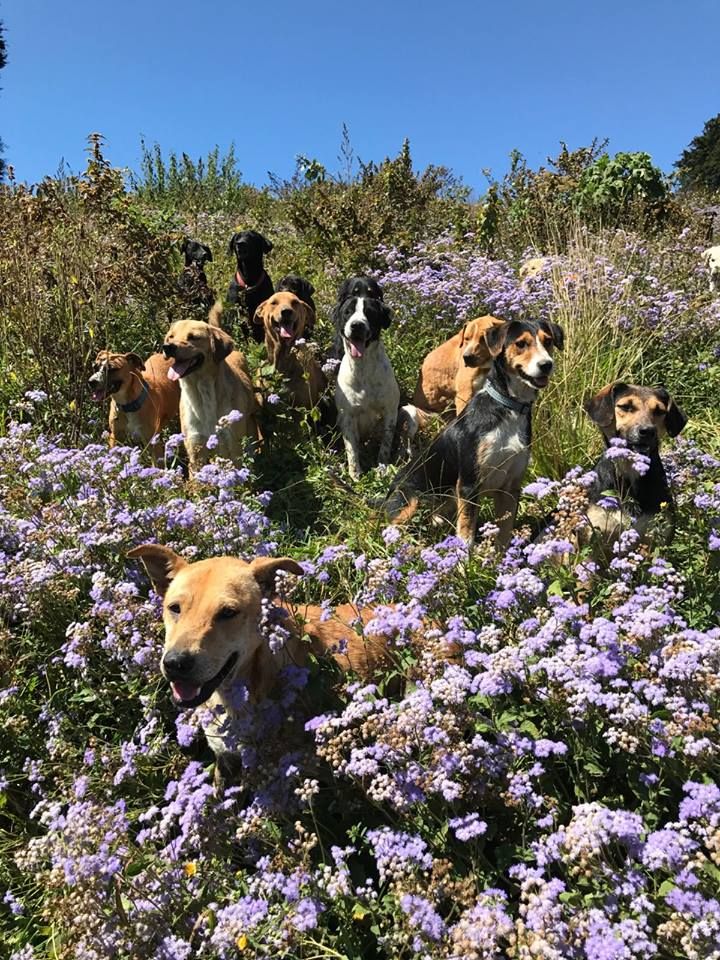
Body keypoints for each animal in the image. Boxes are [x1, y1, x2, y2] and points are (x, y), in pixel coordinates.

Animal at [162, 320, 258, 474]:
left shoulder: (233, 447)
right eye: (171, 337)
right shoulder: (196, 449)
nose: (167, 347)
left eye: (193, 337)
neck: (203, 395)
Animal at [334, 294, 400, 478]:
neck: (363, 368)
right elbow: (351, 449)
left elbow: (385, 446)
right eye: (348, 312)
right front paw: (355, 472)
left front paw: (382, 468)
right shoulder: (347, 416)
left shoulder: (390, 413)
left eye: (370, 313)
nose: (357, 325)